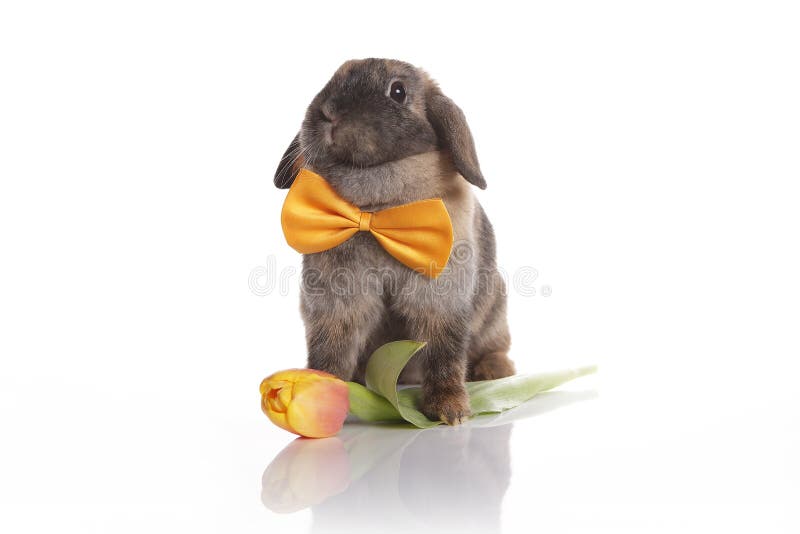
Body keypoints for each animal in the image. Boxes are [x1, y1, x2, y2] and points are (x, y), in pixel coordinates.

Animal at [273, 58, 514, 425]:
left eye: (397, 91)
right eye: (330, 81)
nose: (329, 113)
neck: (377, 210)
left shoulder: (440, 301)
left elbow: (444, 352)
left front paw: (450, 411)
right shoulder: (336, 305)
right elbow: (329, 351)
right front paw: (318, 395)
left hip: (494, 313)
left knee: (493, 347)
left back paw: (494, 372)